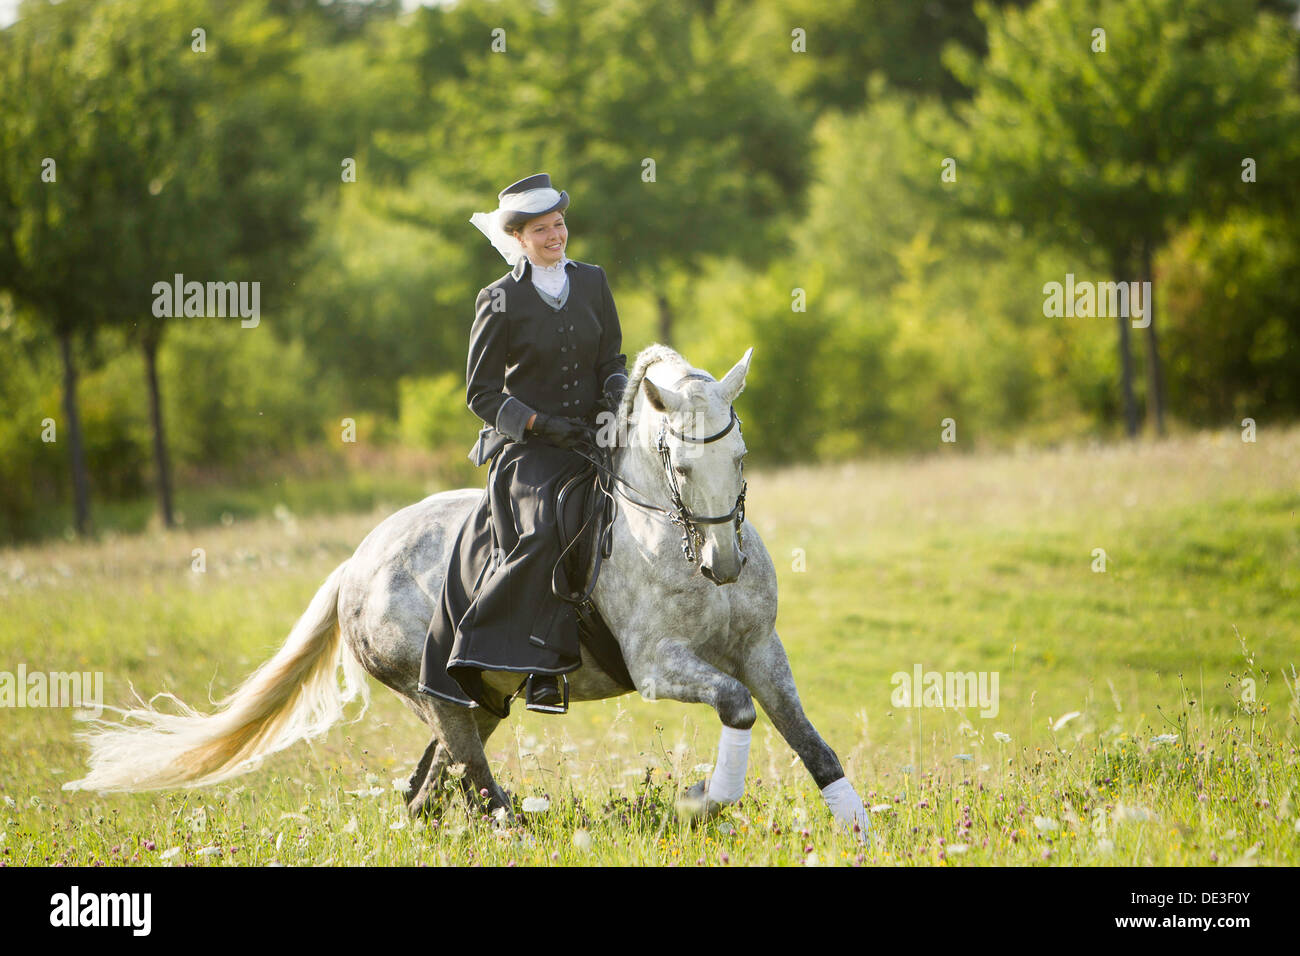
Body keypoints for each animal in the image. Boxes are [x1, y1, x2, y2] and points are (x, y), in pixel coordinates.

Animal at [65, 345, 868, 834]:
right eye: (678, 459)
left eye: (740, 454)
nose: (724, 562)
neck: (668, 539)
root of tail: (355, 565)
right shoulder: (662, 667)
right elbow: (736, 709)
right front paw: (707, 800)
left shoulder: (762, 651)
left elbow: (810, 742)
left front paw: (855, 824)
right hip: (442, 698)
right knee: (474, 785)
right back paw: (520, 832)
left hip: (478, 698)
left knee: (428, 790)